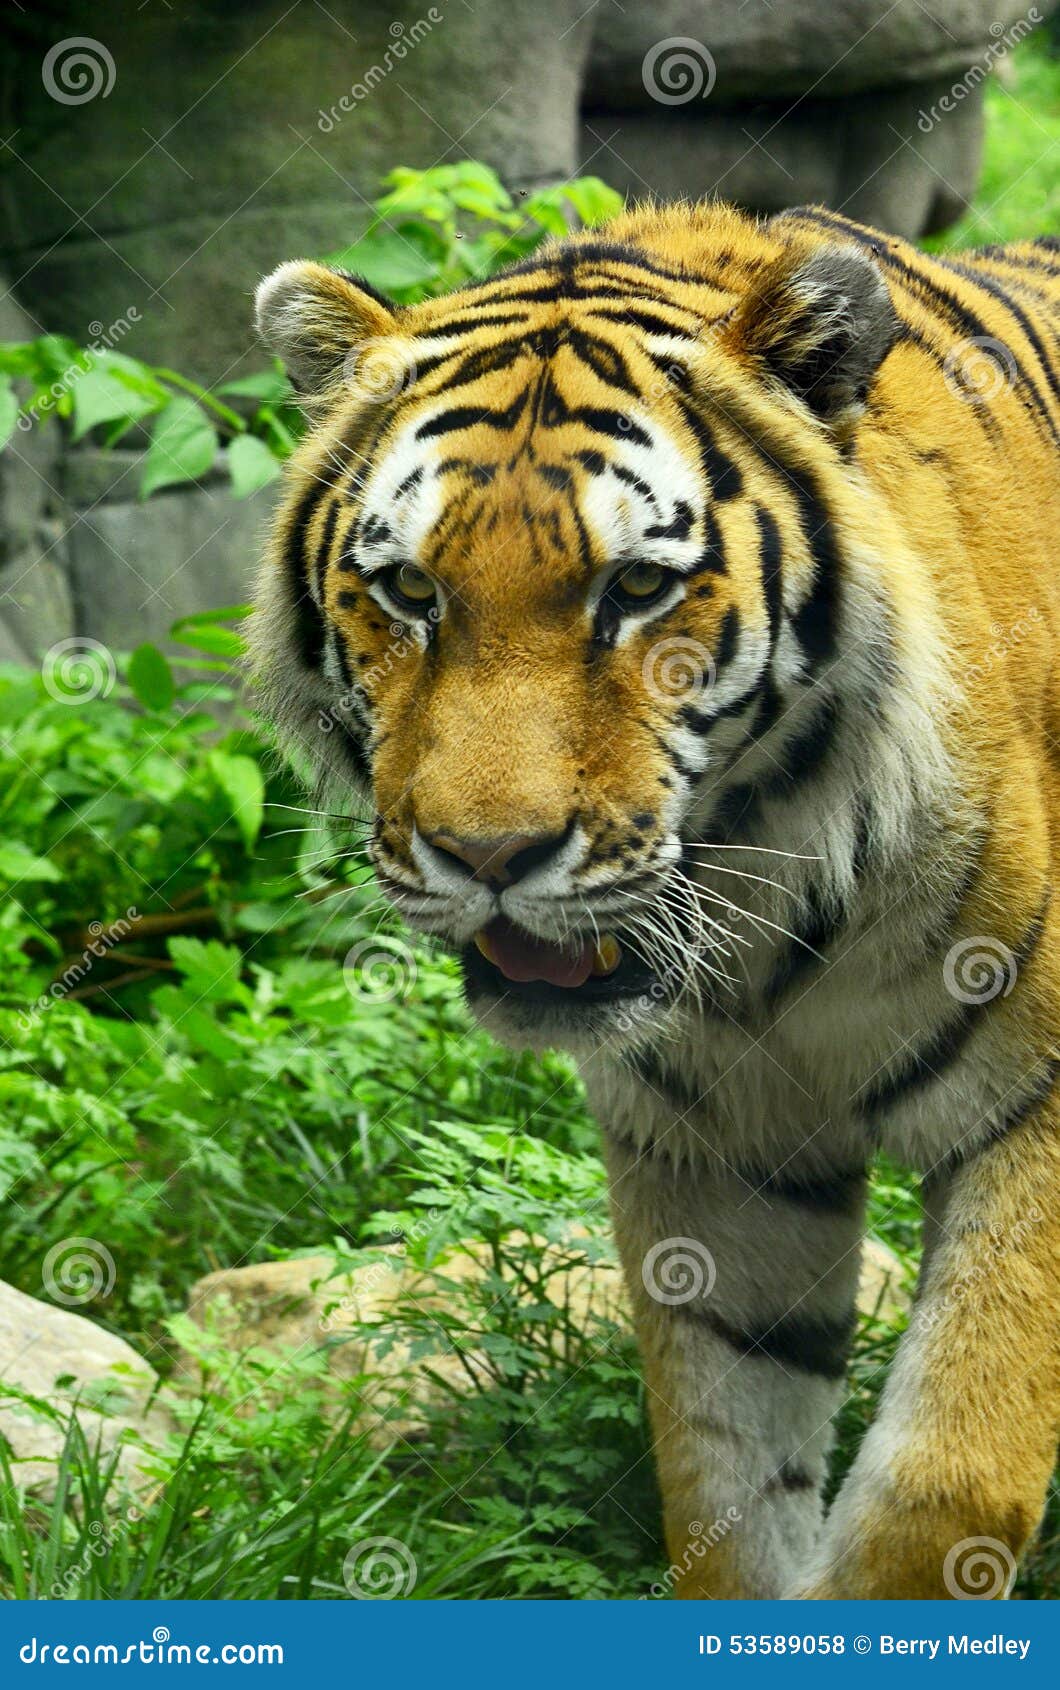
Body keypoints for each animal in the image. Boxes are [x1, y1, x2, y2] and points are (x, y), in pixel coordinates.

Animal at [249, 199, 1060, 1601]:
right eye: (409, 591)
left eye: (635, 590)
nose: (490, 853)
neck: (767, 928)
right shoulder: (717, 1158)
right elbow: (725, 1480)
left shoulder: (1041, 1107)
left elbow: (946, 1479)